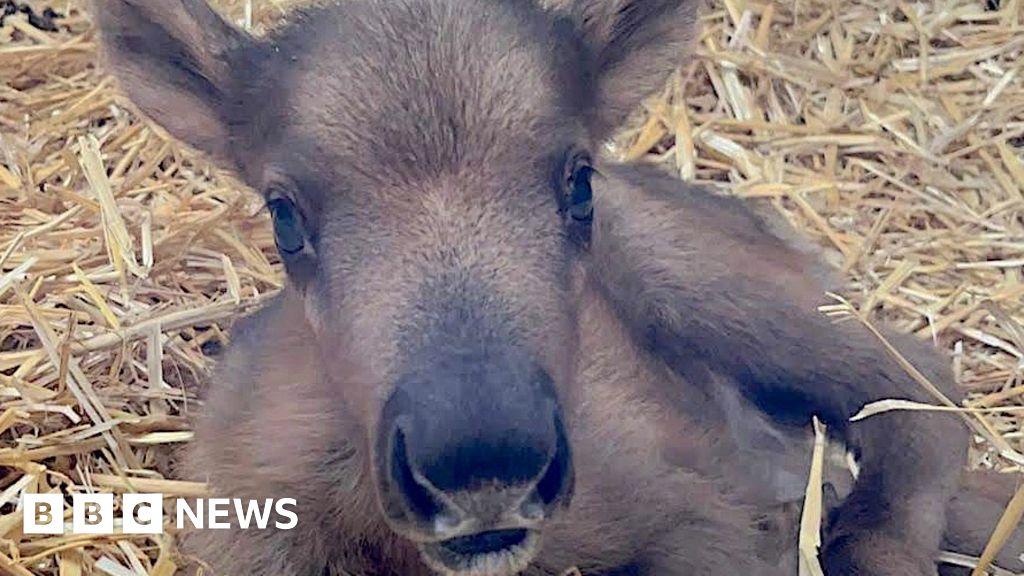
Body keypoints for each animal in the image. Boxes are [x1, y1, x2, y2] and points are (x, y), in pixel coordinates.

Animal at [90, 1, 1023, 574]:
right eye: (284, 214)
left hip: (725, 288)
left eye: (577, 182)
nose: (482, 458)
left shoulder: (696, 511)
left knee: (918, 379)